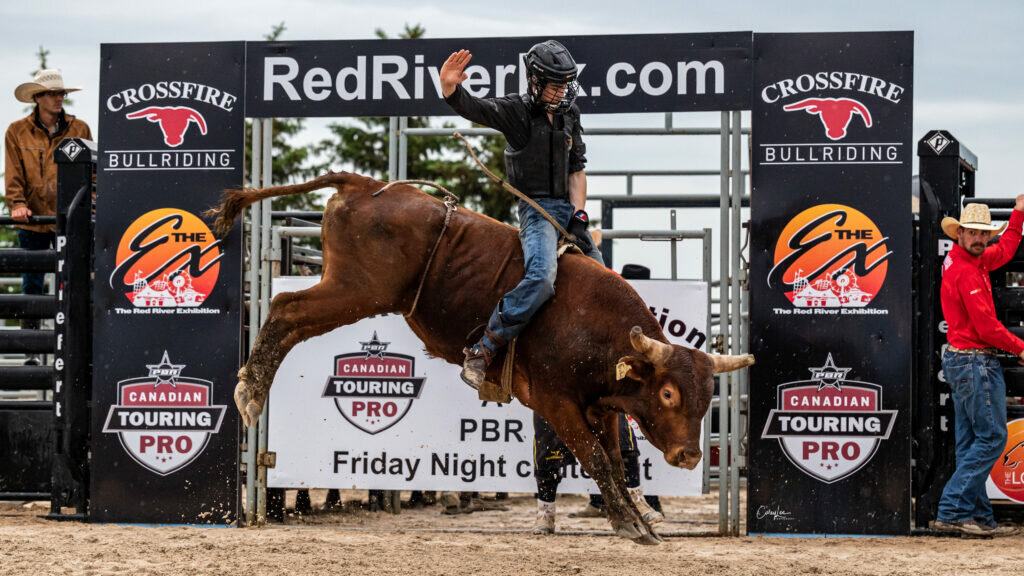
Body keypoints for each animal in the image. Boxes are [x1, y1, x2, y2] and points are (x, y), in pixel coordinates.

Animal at [207, 171, 754, 544]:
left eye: (707, 396)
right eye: (668, 393)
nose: (689, 456)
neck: (595, 327)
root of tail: (365, 185)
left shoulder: (602, 408)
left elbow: (617, 465)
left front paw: (641, 521)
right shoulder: (556, 403)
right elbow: (596, 459)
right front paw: (631, 525)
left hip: (354, 293)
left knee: (291, 320)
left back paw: (251, 392)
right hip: (356, 289)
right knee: (284, 306)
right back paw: (249, 392)